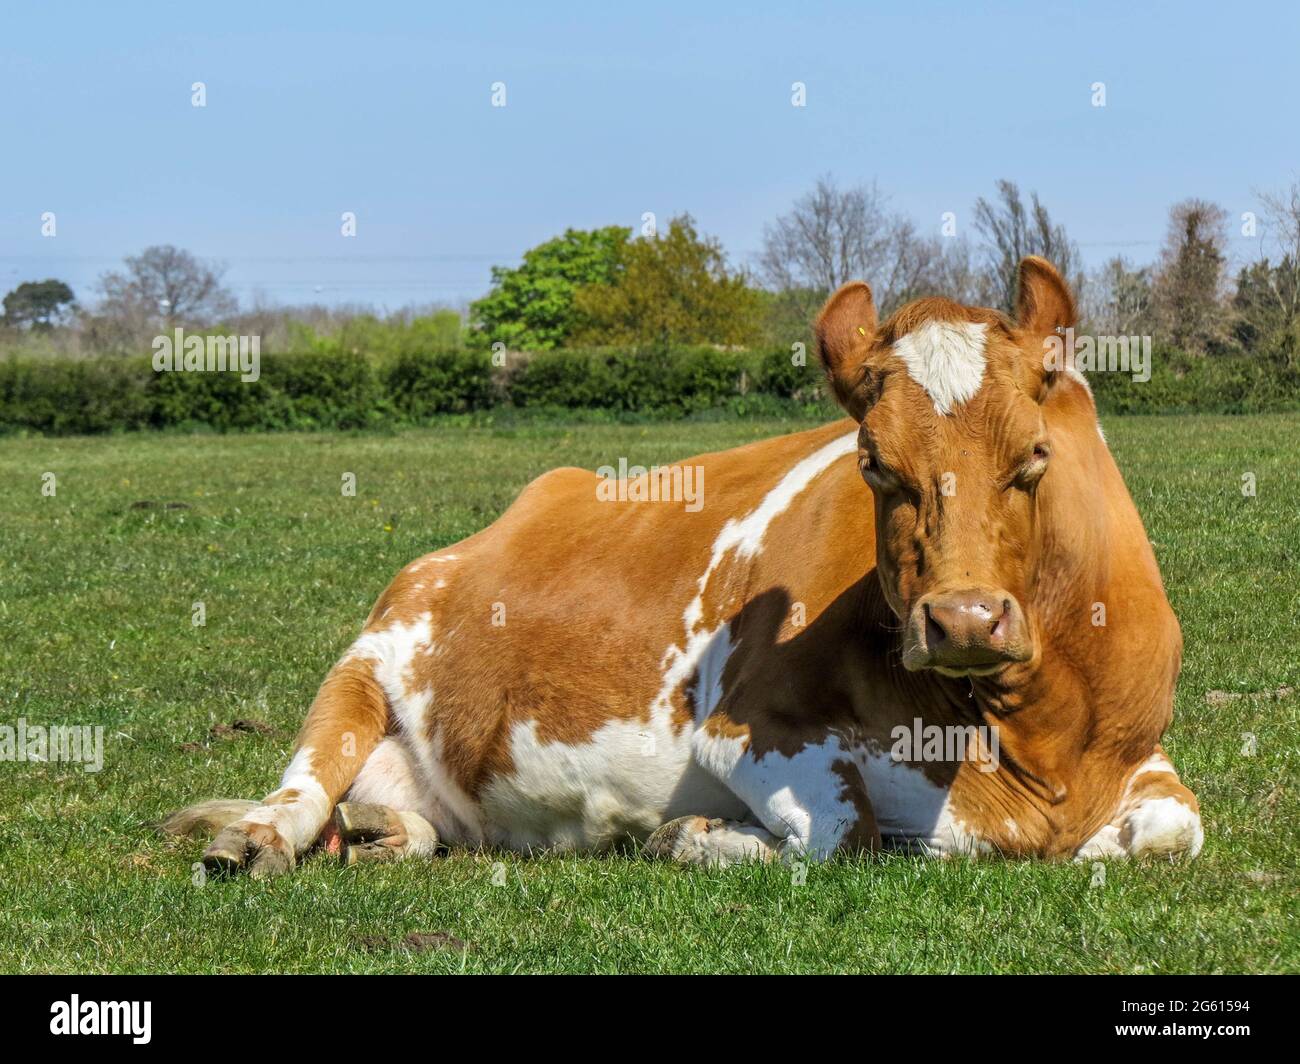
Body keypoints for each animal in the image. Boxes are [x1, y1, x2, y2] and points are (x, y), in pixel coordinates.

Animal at [164, 256, 1203, 875]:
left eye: (1034, 455)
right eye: (874, 461)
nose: (964, 621)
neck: (1031, 740)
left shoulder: (1138, 755)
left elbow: (1173, 828)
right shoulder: (748, 732)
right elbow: (855, 833)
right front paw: (699, 833)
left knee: (410, 822)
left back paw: (383, 834)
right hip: (363, 664)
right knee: (302, 784)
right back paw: (257, 838)